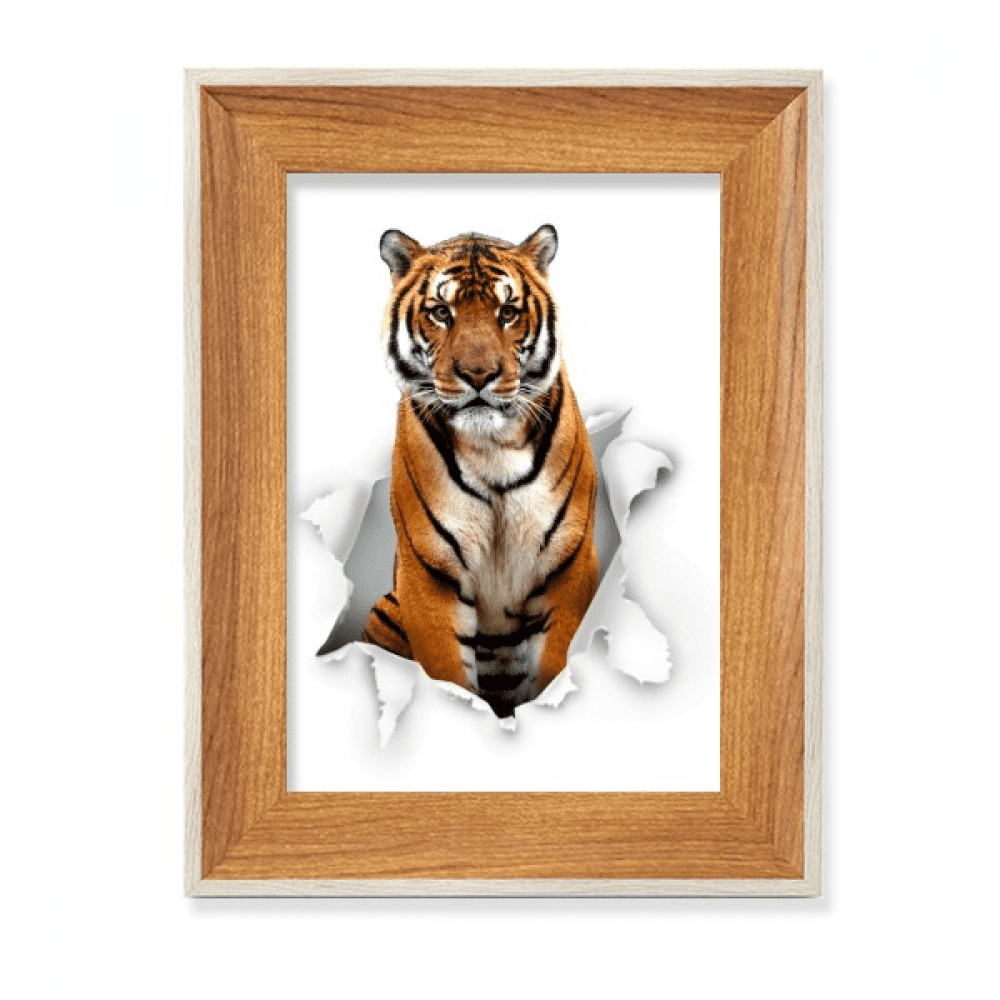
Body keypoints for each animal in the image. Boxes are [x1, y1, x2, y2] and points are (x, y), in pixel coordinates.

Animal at [361, 224, 600, 718]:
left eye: (507, 312)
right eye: (440, 312)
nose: (477, 375)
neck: (493, 449)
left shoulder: (568, 569)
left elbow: (556, 666)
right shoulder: (430, 575)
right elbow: (447, 676)